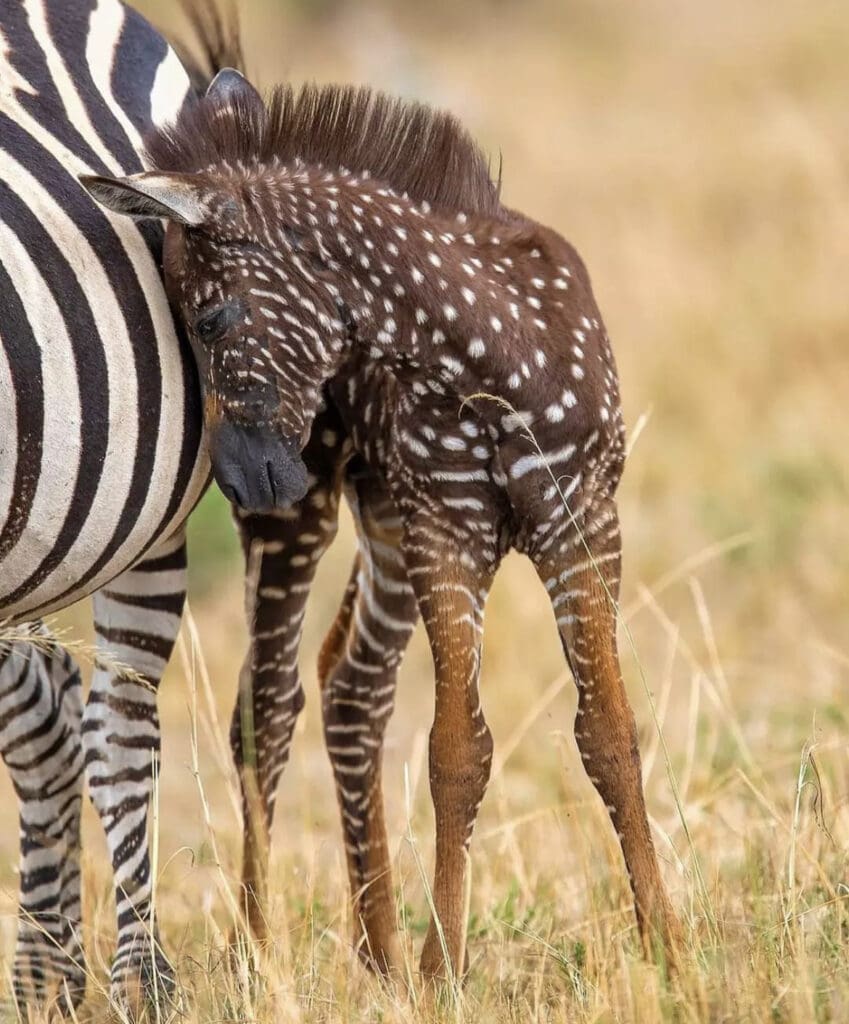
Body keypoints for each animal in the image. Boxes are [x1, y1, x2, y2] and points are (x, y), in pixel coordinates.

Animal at [86, 73, 682, 983]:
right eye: (182, 333)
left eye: (212, 320)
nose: (241, 483)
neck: (489, 357)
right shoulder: (448, 532)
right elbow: (457, 751)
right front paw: (445, 967)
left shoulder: (579, 524)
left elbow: (607, 732)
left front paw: (665, 948)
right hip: (319, 522)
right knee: (266, 706)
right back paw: (258, 948)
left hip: (383, 523)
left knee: (350, 685)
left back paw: (379, 950)